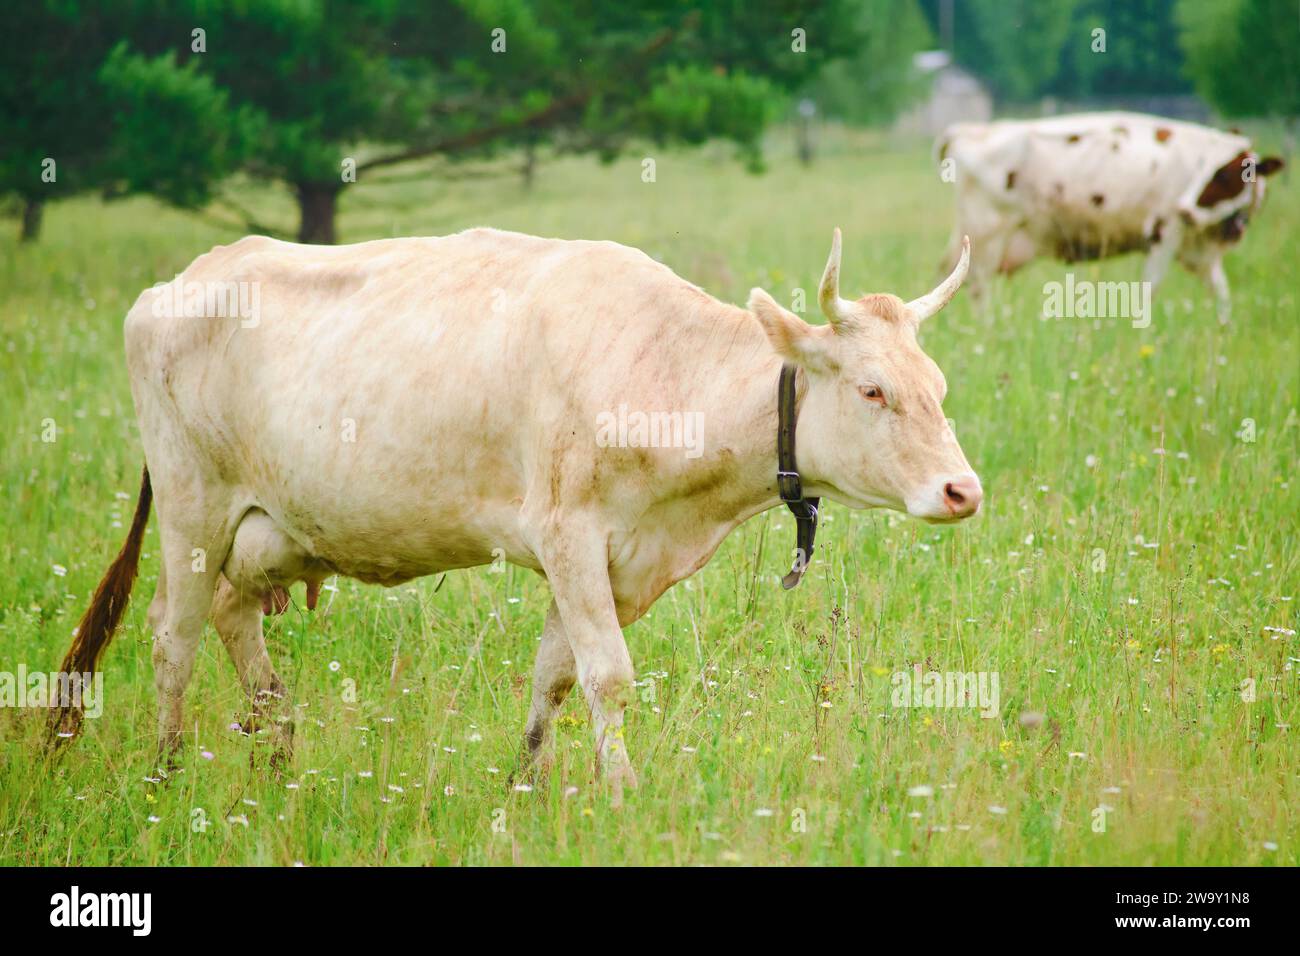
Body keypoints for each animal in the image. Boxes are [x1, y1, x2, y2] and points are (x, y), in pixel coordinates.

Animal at [52, 227, 982, 800]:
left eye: (940, 386)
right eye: (873, 389)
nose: (961, 491)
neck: (662, 372)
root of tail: (180, 281)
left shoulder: (616, 562)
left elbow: (557, 676)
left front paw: (526, 783)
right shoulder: (570, 534)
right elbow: (609, 676)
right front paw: (624, 795)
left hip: (269, 529)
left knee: (230, 615)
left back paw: (278, 748)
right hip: (191, 505)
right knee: (172, 633)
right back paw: (167, 771)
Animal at [937, 112, 1285, 320]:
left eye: (1223, 174)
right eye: (1208, 171)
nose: (1184, 209)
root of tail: (971, 131)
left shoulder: (1200, 250)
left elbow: (1221, 293)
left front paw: (1225, 329)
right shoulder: (1164, 233)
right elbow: (1149, 290)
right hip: (987, 236)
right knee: (978, 288)